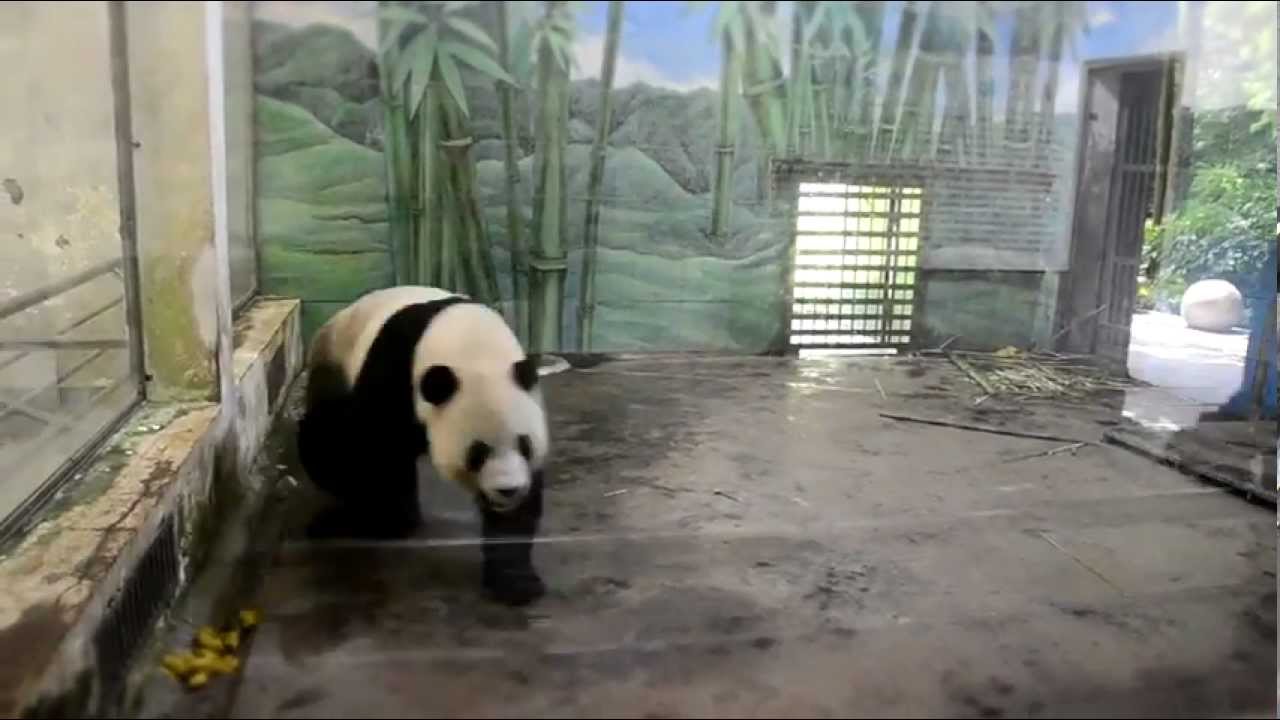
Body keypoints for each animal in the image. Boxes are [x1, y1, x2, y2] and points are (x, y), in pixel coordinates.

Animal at [296, 285, 549, 606]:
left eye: (525, 445)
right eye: (477, 452)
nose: (508, 490)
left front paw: (516, 582)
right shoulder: (395, 368)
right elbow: (371, 449)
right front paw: (385, 520)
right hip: (331, 370)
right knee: (325, 436)